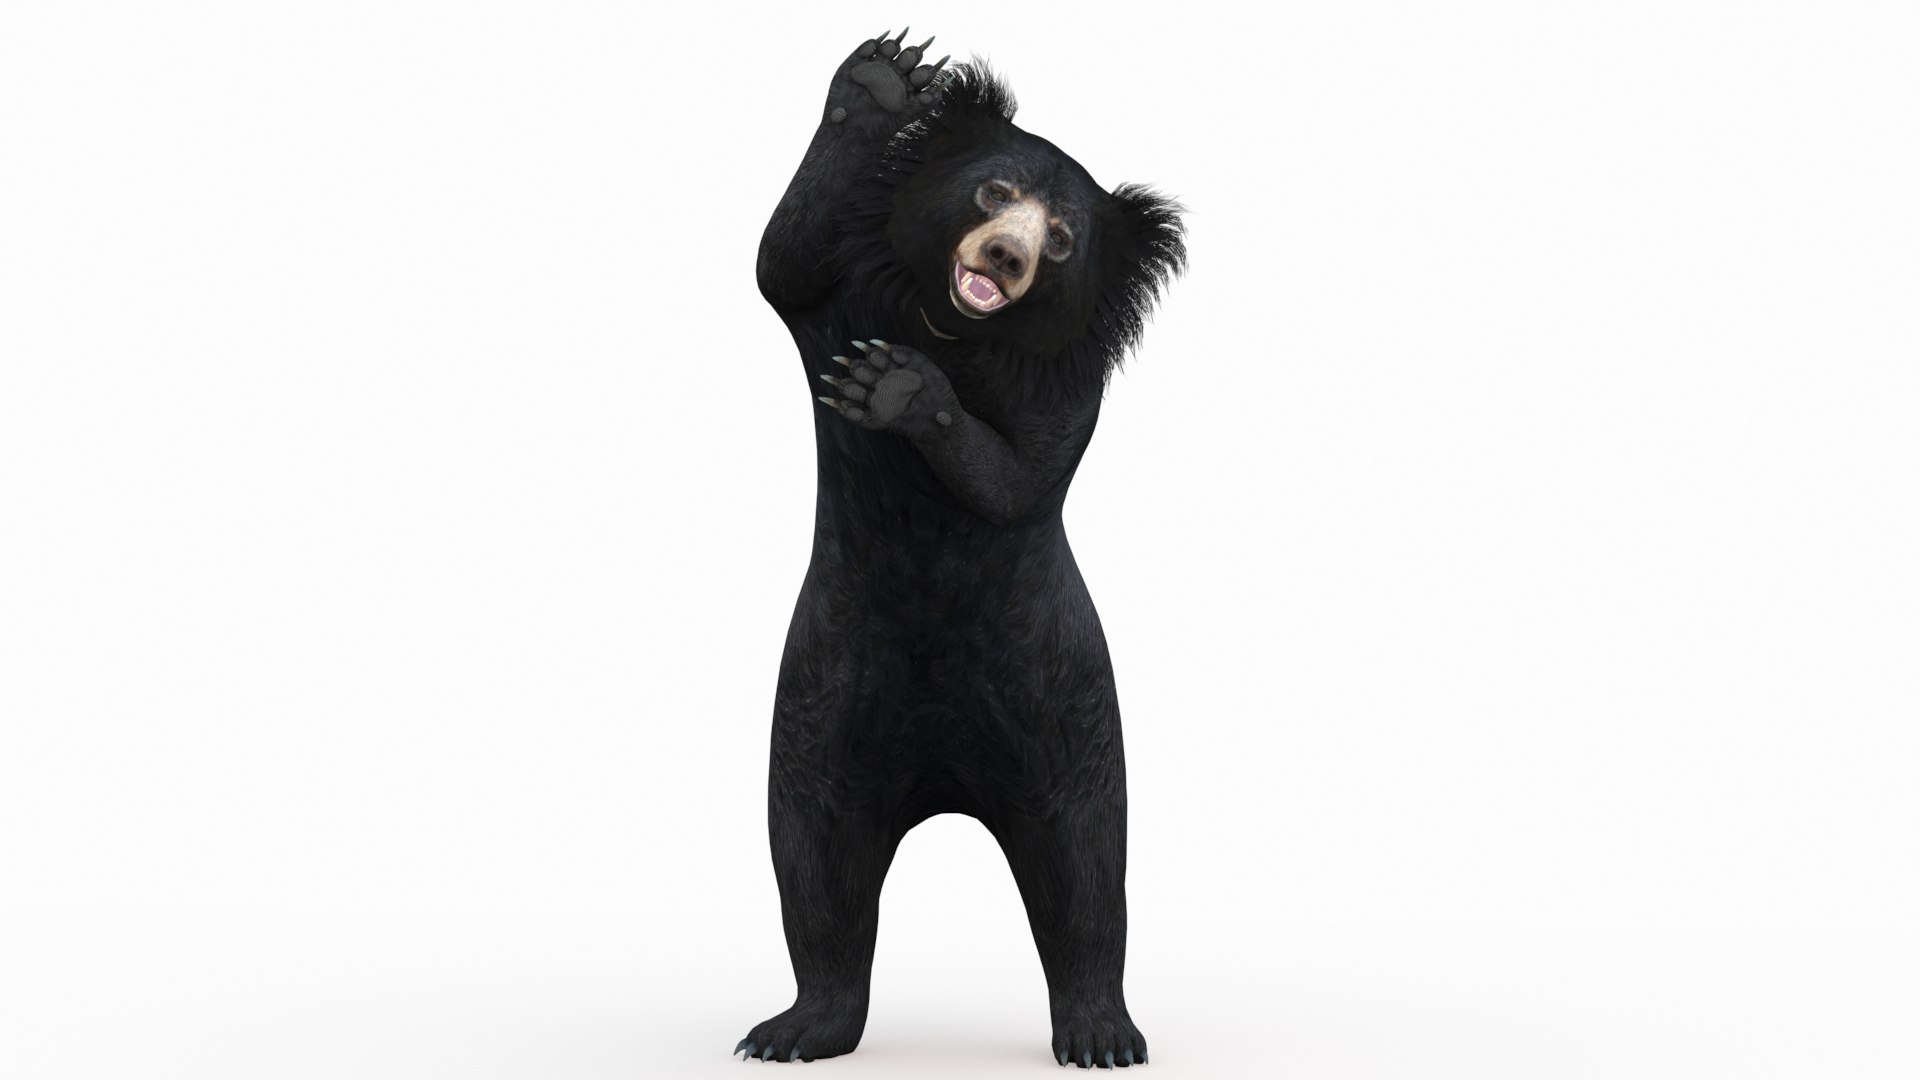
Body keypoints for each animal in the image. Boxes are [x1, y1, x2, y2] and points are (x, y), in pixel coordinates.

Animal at [738, 29, 1185, 1070]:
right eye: (991, 192)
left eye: (1061, 241)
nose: (1005, 256)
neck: (951, 323)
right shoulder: (837, 295)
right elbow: (781, 262)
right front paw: (885, 77)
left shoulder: (1068, 390)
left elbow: (1019, 478)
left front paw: (901, 388)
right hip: (824, 698)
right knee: (816, 855)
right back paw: (799, 1026)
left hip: (1063, 701)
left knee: (1085, 864)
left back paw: (1101, 1031)